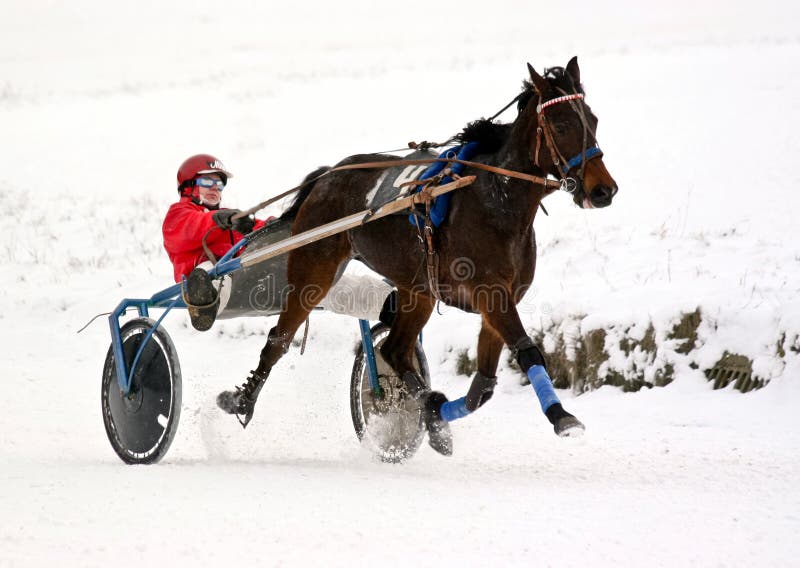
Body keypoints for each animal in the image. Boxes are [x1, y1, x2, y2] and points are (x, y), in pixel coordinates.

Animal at [216, 57, 618, 455]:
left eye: (594, 120)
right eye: (561, 125)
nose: (603, 190)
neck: (496, 200)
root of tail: (328, 175)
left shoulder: (496, 301)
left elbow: (484, 387)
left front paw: (437, 415)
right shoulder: (492, 295)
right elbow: (528, 351)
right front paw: (562, 417)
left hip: (417, 289)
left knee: (395, 349)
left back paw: (427, 409)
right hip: (313, 269)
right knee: (279, 338)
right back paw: (242, 400)